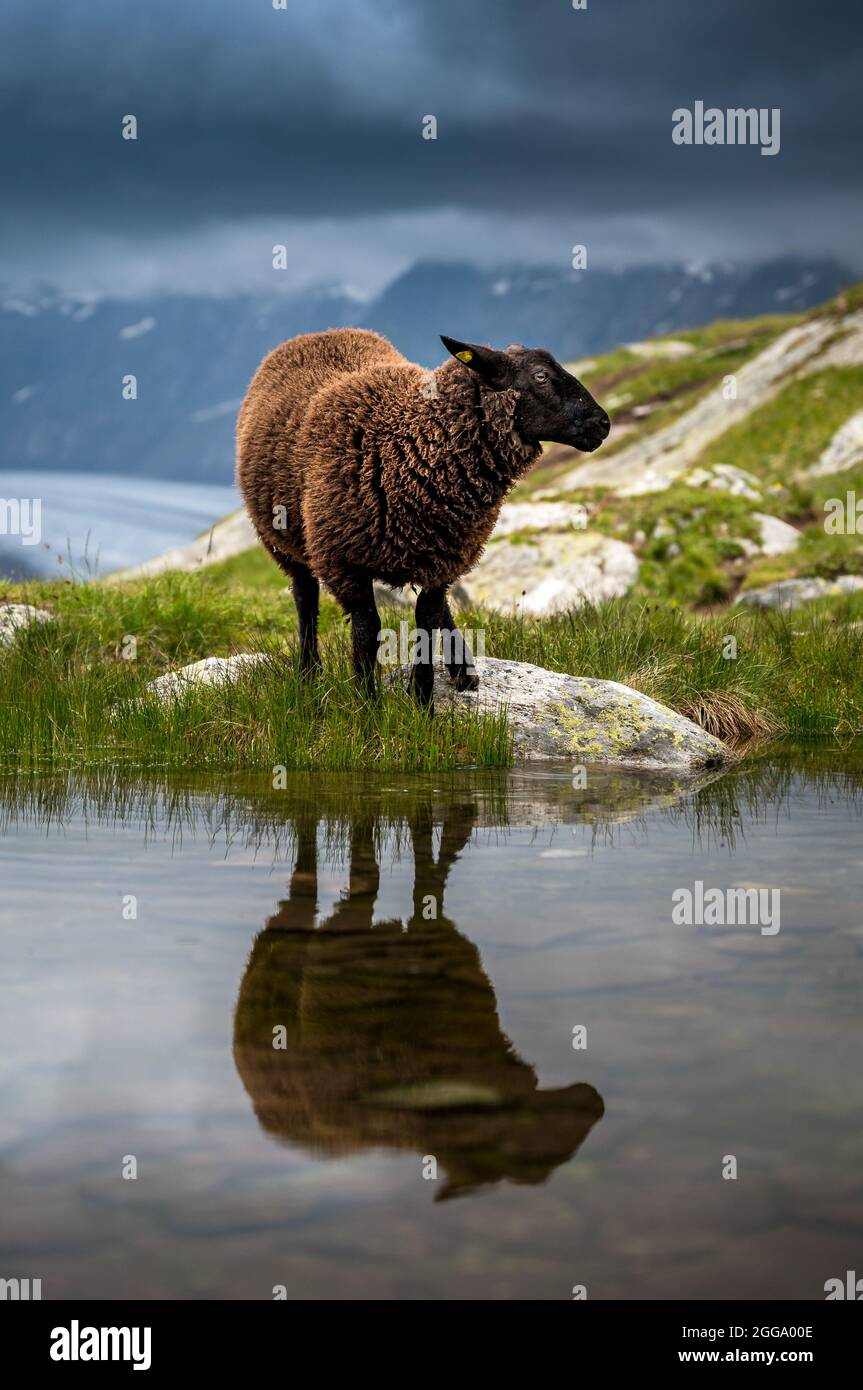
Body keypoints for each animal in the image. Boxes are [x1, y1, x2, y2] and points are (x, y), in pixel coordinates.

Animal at [236, 328, 610, 707]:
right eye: (540, 376)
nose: (603, 424)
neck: (412, 441)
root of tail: (316, 334)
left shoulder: (443, 558)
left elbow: (427, 621)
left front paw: (422, 704)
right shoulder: (344, 562)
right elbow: (367, 629)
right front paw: (368, 706)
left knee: (440, 607)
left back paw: (463, 672)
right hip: (282, 539)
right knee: (305, 597)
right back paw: (308, 674)